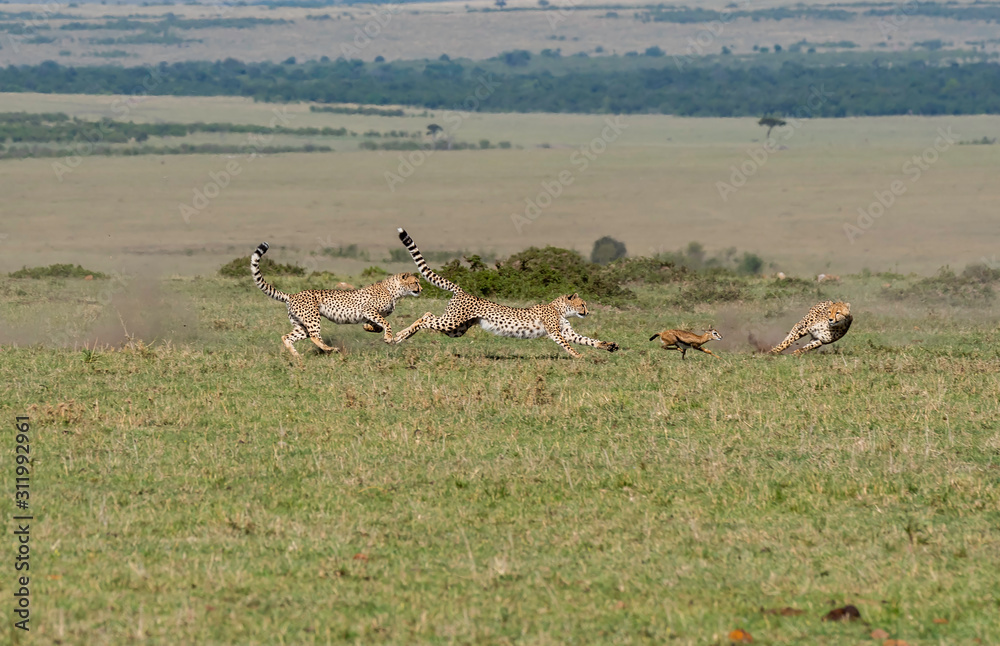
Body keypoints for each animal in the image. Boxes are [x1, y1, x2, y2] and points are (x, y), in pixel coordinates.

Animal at [251, 242, 421, 356]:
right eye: (415, 282)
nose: (421, 289)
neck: (393, 290)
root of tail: (293, 294)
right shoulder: (368, 310)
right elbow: (386, 323)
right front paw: (388, 337)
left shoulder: (370, 315)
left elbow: (378, 325)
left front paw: (369, 328)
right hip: (312, 319)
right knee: (315, 336)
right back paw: (330, 349)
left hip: (301, 325)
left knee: (287, 337)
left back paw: (297, 356)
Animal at [392, 228, 620, 358]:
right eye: (582, 304)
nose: (588, 312)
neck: (560, 309)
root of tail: (463, 291)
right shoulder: (556, 333)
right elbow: (568, 345)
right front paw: (578, 356)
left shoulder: (567, 332)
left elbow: (587, 339)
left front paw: (608, 345)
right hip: (452, 321)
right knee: (425, 316)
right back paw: (399, 335)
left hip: (457, 329)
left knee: (429, 318)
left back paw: (401, 337)